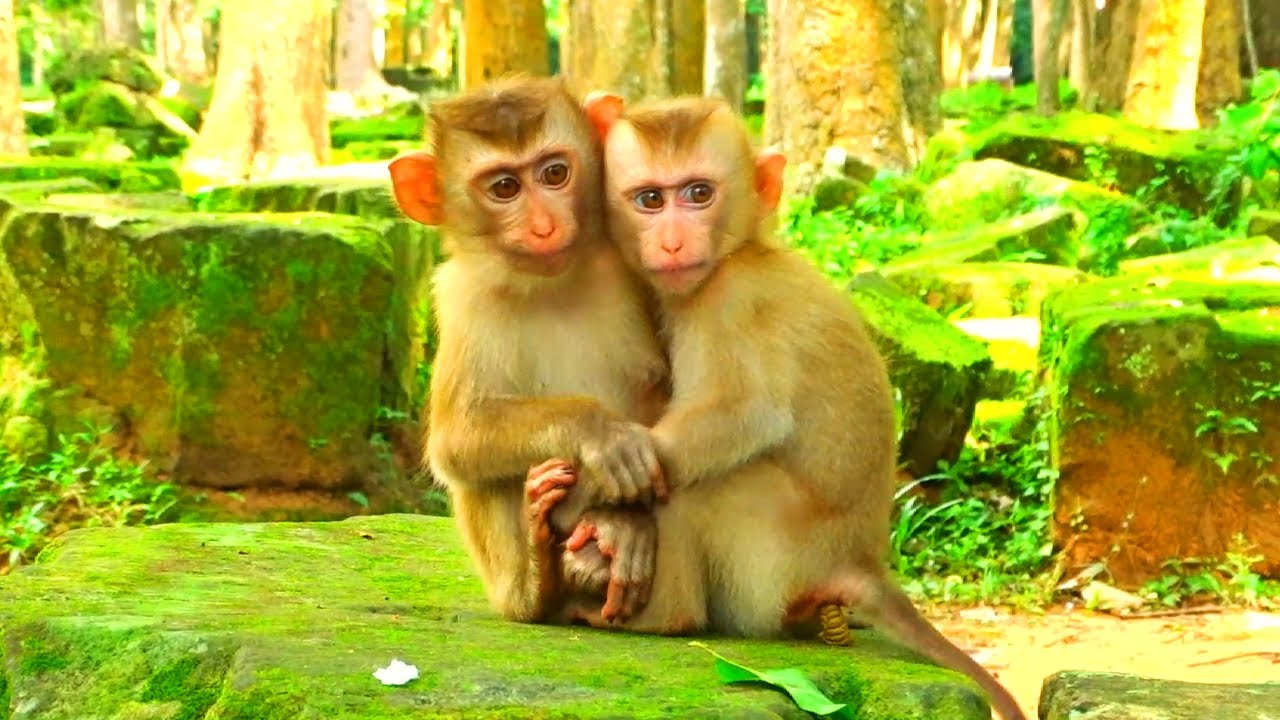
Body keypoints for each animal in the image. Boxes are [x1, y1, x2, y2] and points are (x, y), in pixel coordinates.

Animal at [386, 76, 669, 627]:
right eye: (504, 188)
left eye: (555, 172)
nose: (544, 226)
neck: (551, 286)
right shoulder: (462, 300)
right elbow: (456, 440)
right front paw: (599, 432)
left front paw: (626, 525)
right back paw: (538, 579)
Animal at [528, 94, 1027, 720]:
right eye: (649, 199)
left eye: (698, 193)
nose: (672, 241)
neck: (740, 253)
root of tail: (859, 562)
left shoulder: (730, 303)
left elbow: (744, 417)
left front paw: (588, 504)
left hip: (775, 558)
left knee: (700, 484)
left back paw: (661, 614)